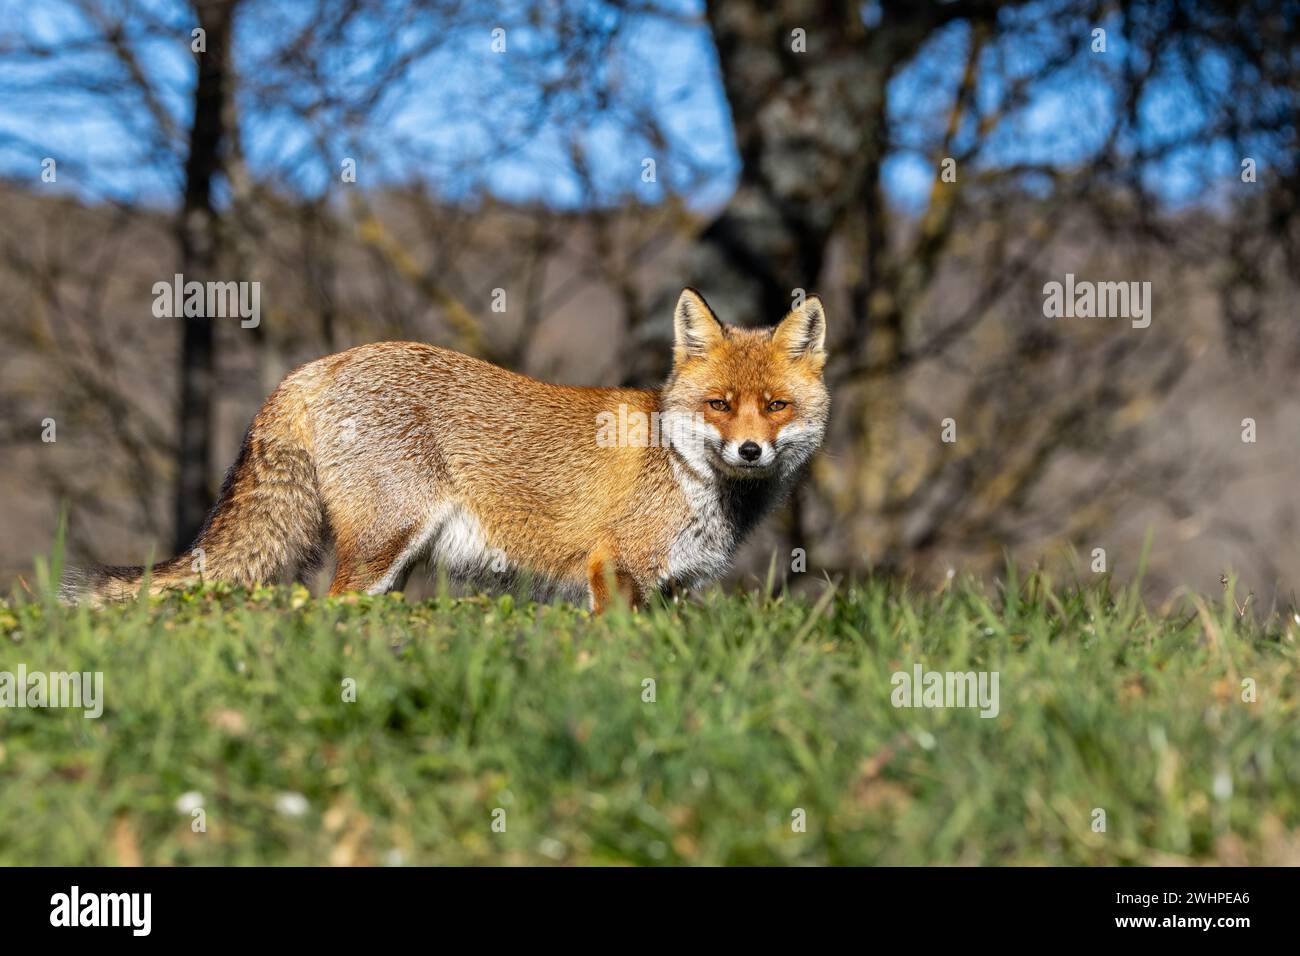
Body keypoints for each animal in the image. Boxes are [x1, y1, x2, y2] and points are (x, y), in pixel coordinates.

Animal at [69, 288, 829, 612]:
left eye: (776, 406)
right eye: (720, 405)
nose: (751, 451)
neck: (682, 470)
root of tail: (319, 365)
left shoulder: (669, 591)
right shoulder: (615, 570)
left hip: (398, 560)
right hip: (383, 541)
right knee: (328, 608)